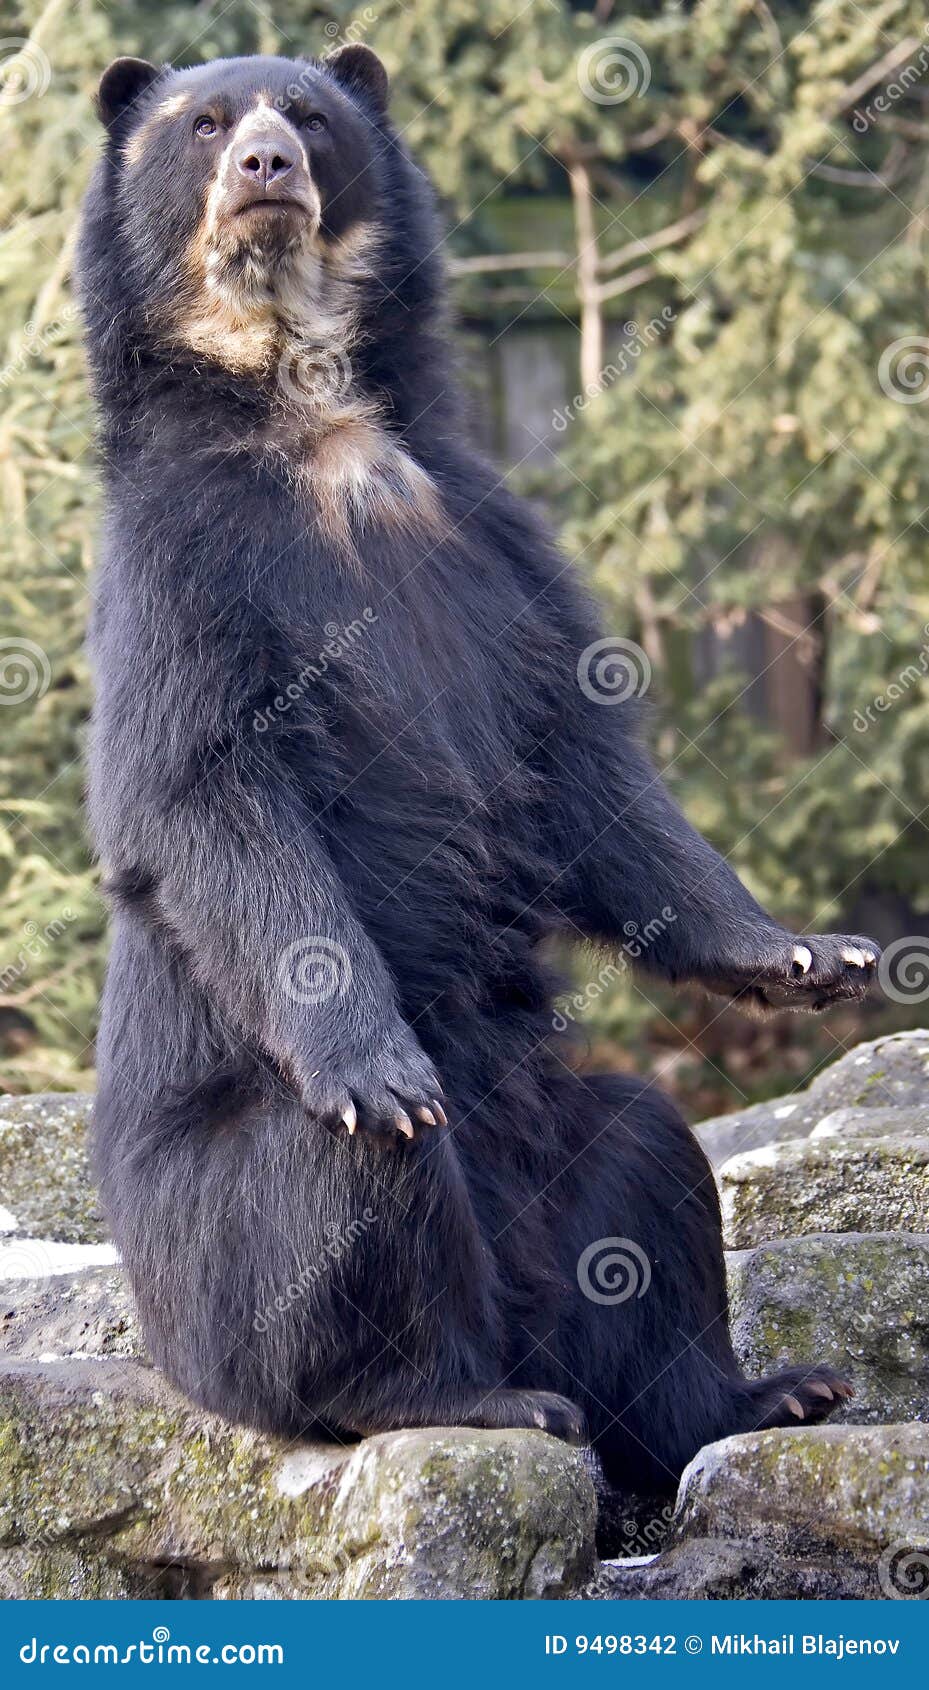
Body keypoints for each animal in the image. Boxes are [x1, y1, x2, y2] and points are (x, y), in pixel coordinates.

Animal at [77, 44, 878, 1496]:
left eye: (312, 118)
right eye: (204, 126)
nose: (267, 165)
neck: (314, 418)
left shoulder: (488, 534)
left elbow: (585, 766)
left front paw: (810, 955)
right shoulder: (175, 571)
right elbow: (202, 790)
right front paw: (374, 1057)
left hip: (569, 1160)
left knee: (649, 1173)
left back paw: (764, 1393)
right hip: (226, 1260)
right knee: (353, 1187)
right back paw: (469, 1391)